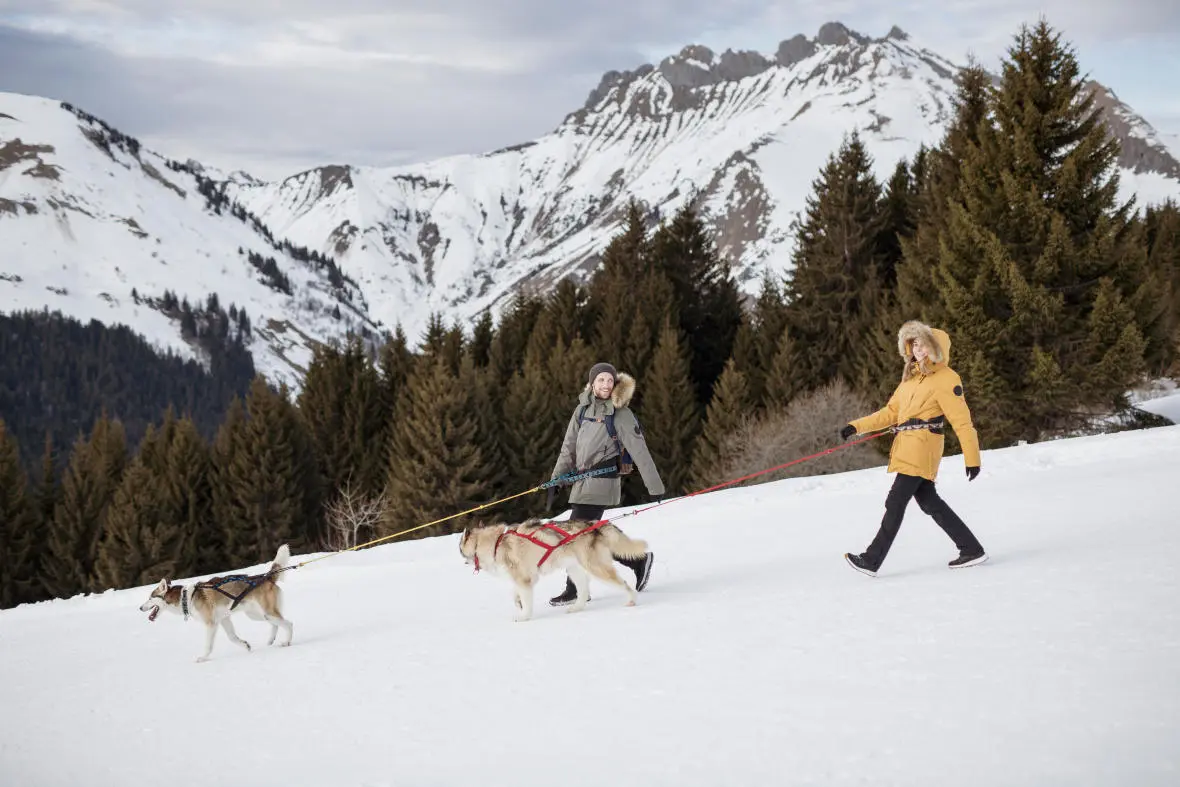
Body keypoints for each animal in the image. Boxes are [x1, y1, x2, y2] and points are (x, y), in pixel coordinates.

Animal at [138, 545, 295, 660]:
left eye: (150, 597)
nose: (140, 608)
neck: (185, 598)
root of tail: (266, 577)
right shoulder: (224, 619)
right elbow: (233, 638)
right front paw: (245, 646)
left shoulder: (211, 624)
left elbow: (208, 645)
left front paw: (203, 658)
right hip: (256, 615)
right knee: (275, 624)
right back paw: (271, 639)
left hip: (267, 612)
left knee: (288, 624)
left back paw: (287, 642)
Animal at [457, 519, 646, 622]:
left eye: (459, 548)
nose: (462, 560)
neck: (495, 543)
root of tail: (593, 525)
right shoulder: (525, 578)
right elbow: (515, 594)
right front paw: (518, 603)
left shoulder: (524, 580)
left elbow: (525, 602)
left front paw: (524, 616)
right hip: (574, 569)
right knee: (583, 591)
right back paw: (576, 608)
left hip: (596, 568)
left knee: (624, 585)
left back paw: (632, 599)